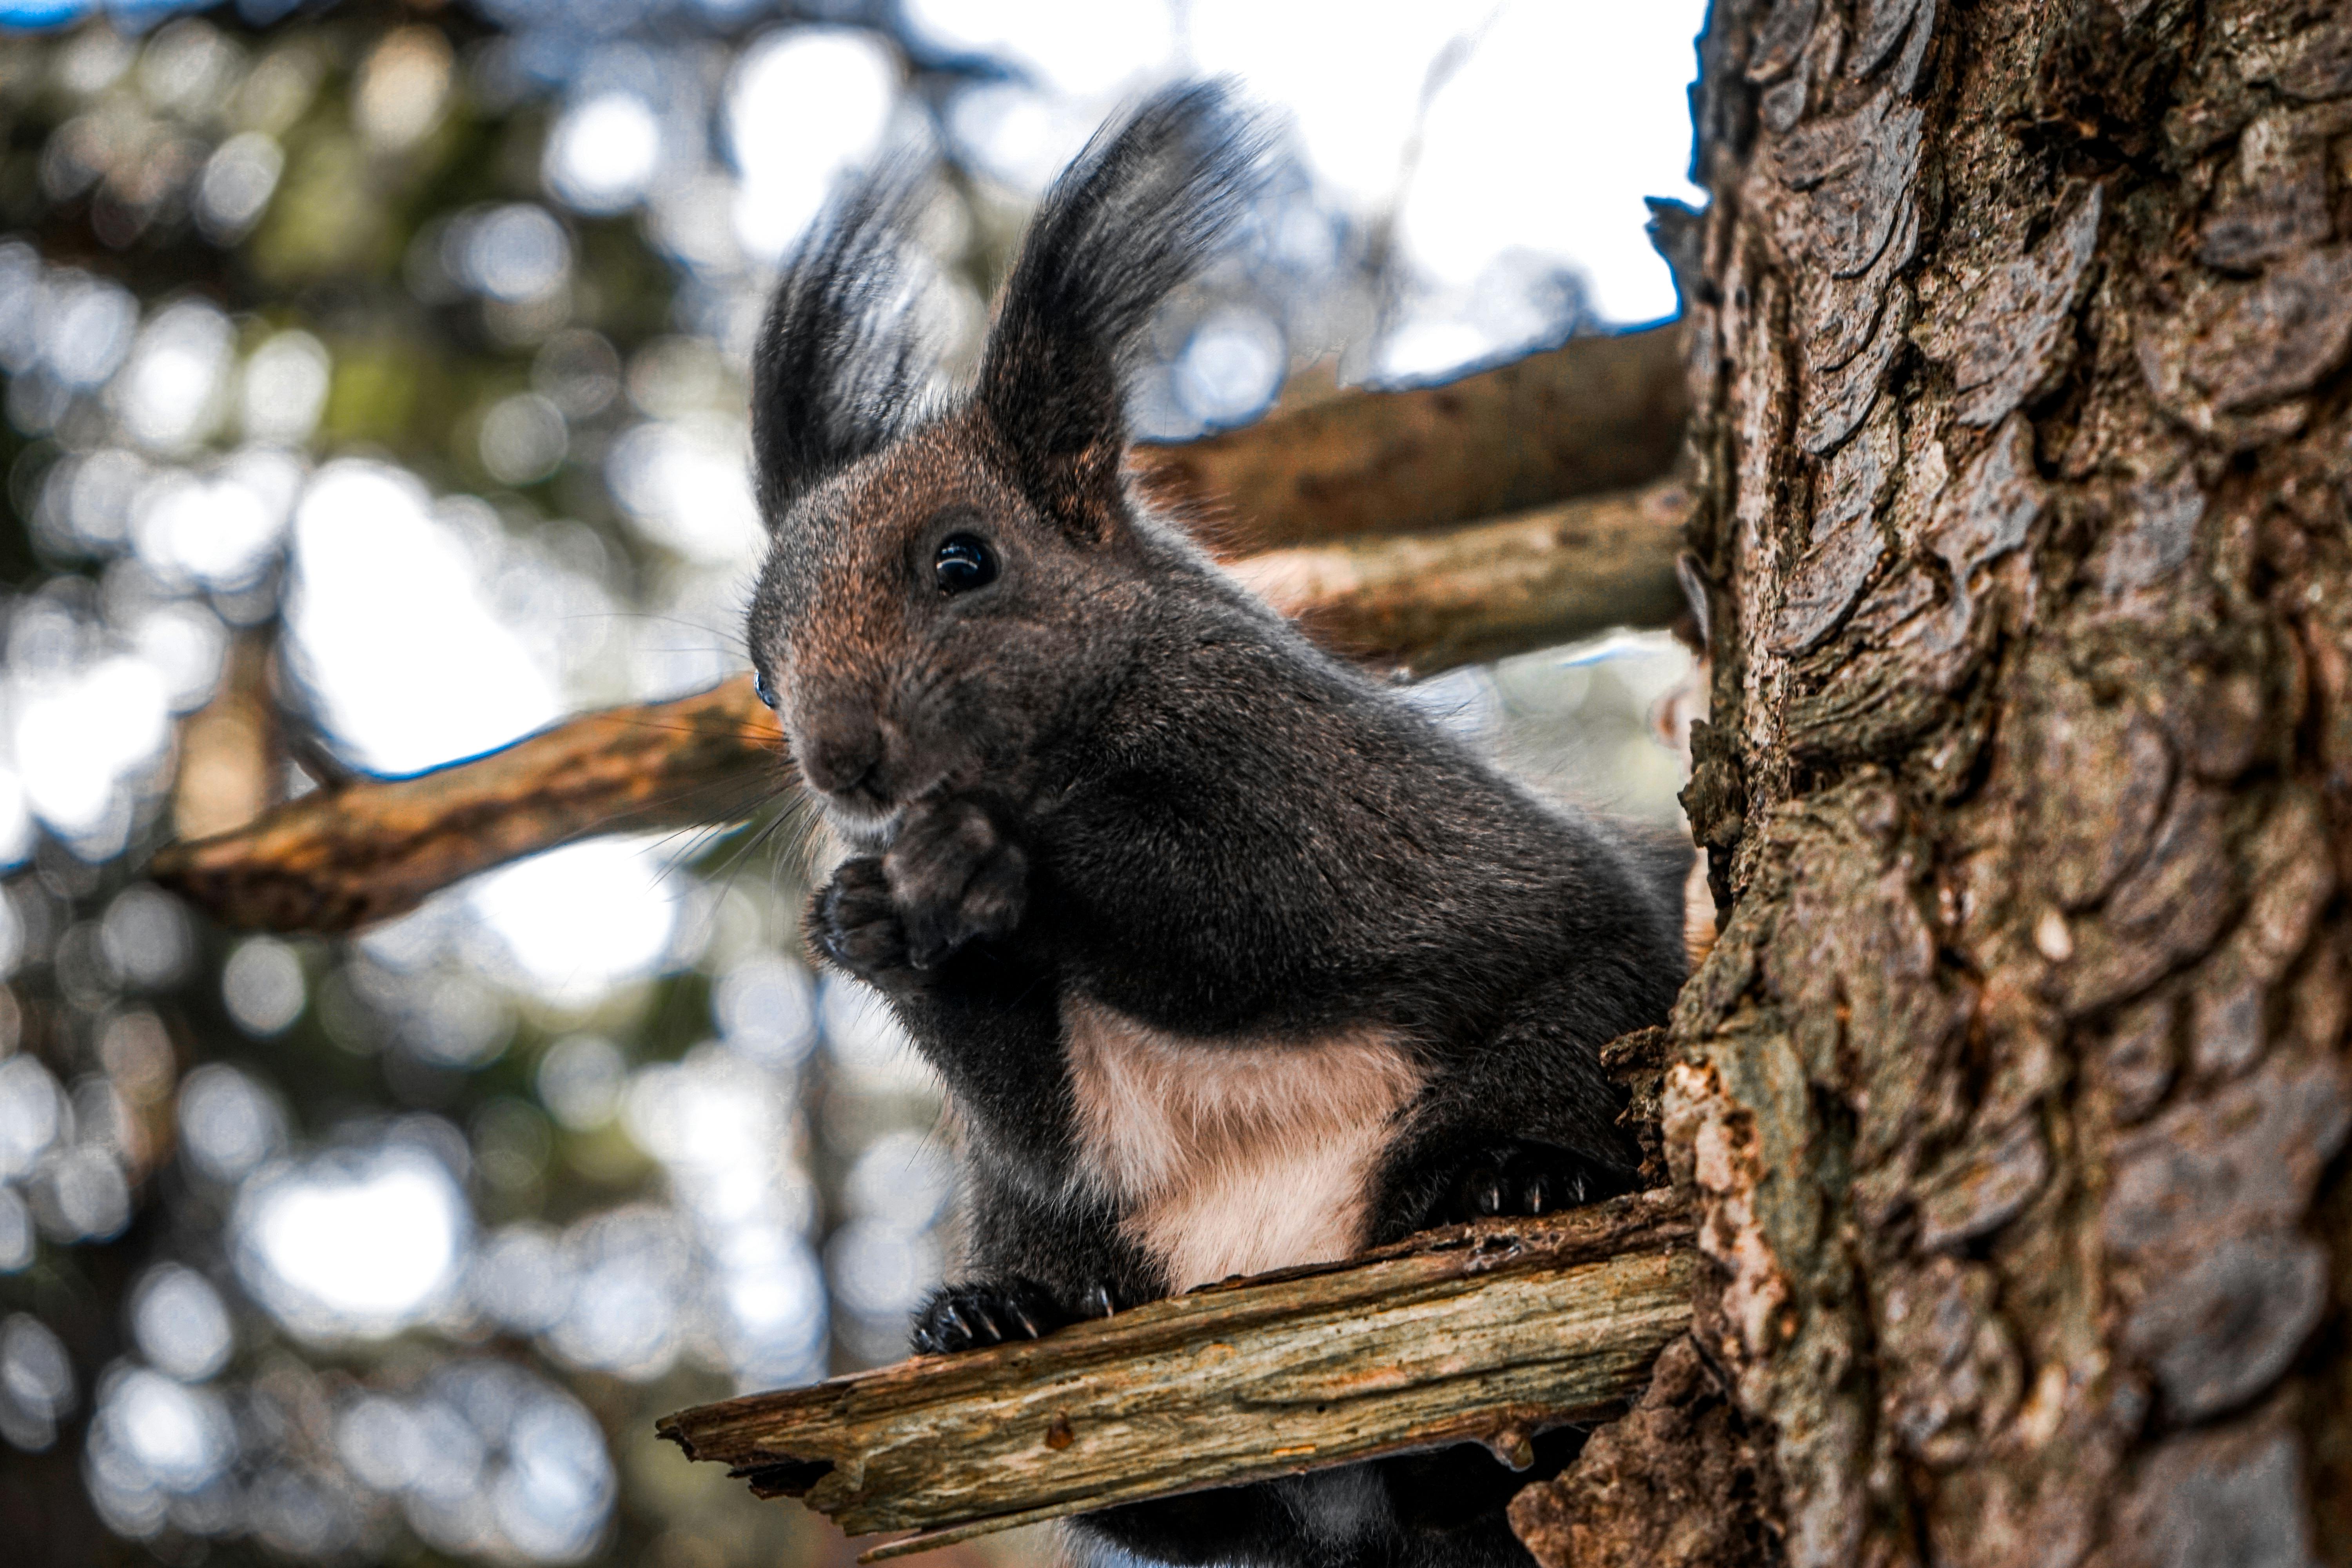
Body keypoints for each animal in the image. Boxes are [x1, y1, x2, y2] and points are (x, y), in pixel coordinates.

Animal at [744, 82, 1689, 1568]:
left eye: (964, 559)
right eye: (756, 673)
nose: (843, 766)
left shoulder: (1312, 781)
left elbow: (1247, 921)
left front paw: (985, 859)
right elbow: (1044, 1118)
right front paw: (866, 920)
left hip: (1557, 1040)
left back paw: (1512, 1187)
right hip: (1076, 1253)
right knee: (1183, 1490)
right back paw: (992, 1312)